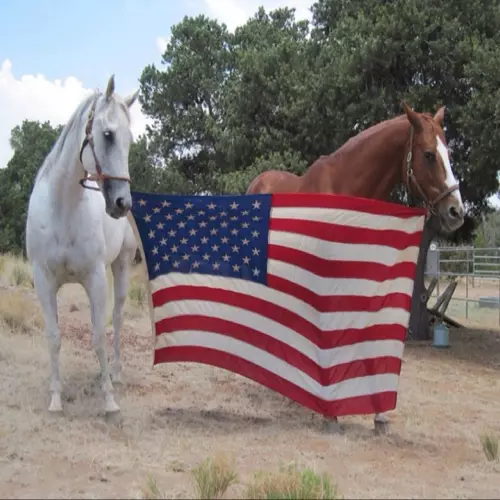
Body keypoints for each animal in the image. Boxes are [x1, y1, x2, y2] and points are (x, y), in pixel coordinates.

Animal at [25, 74, 139, 414]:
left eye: (130, 140)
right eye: (108, 135)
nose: (122, 203)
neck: (62, 210)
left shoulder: (96, 278)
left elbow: (99, 337)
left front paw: (109, 400)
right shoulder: (43, 281)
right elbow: (54, 337)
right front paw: (55, 399)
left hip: (121, 265)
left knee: (117, 317)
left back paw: (115, 373)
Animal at [248, 100, 466, 430]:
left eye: (449, 154)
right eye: (429, 154)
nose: (456, 212)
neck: (345, 190)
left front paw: (379, 413)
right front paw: (330, 411)